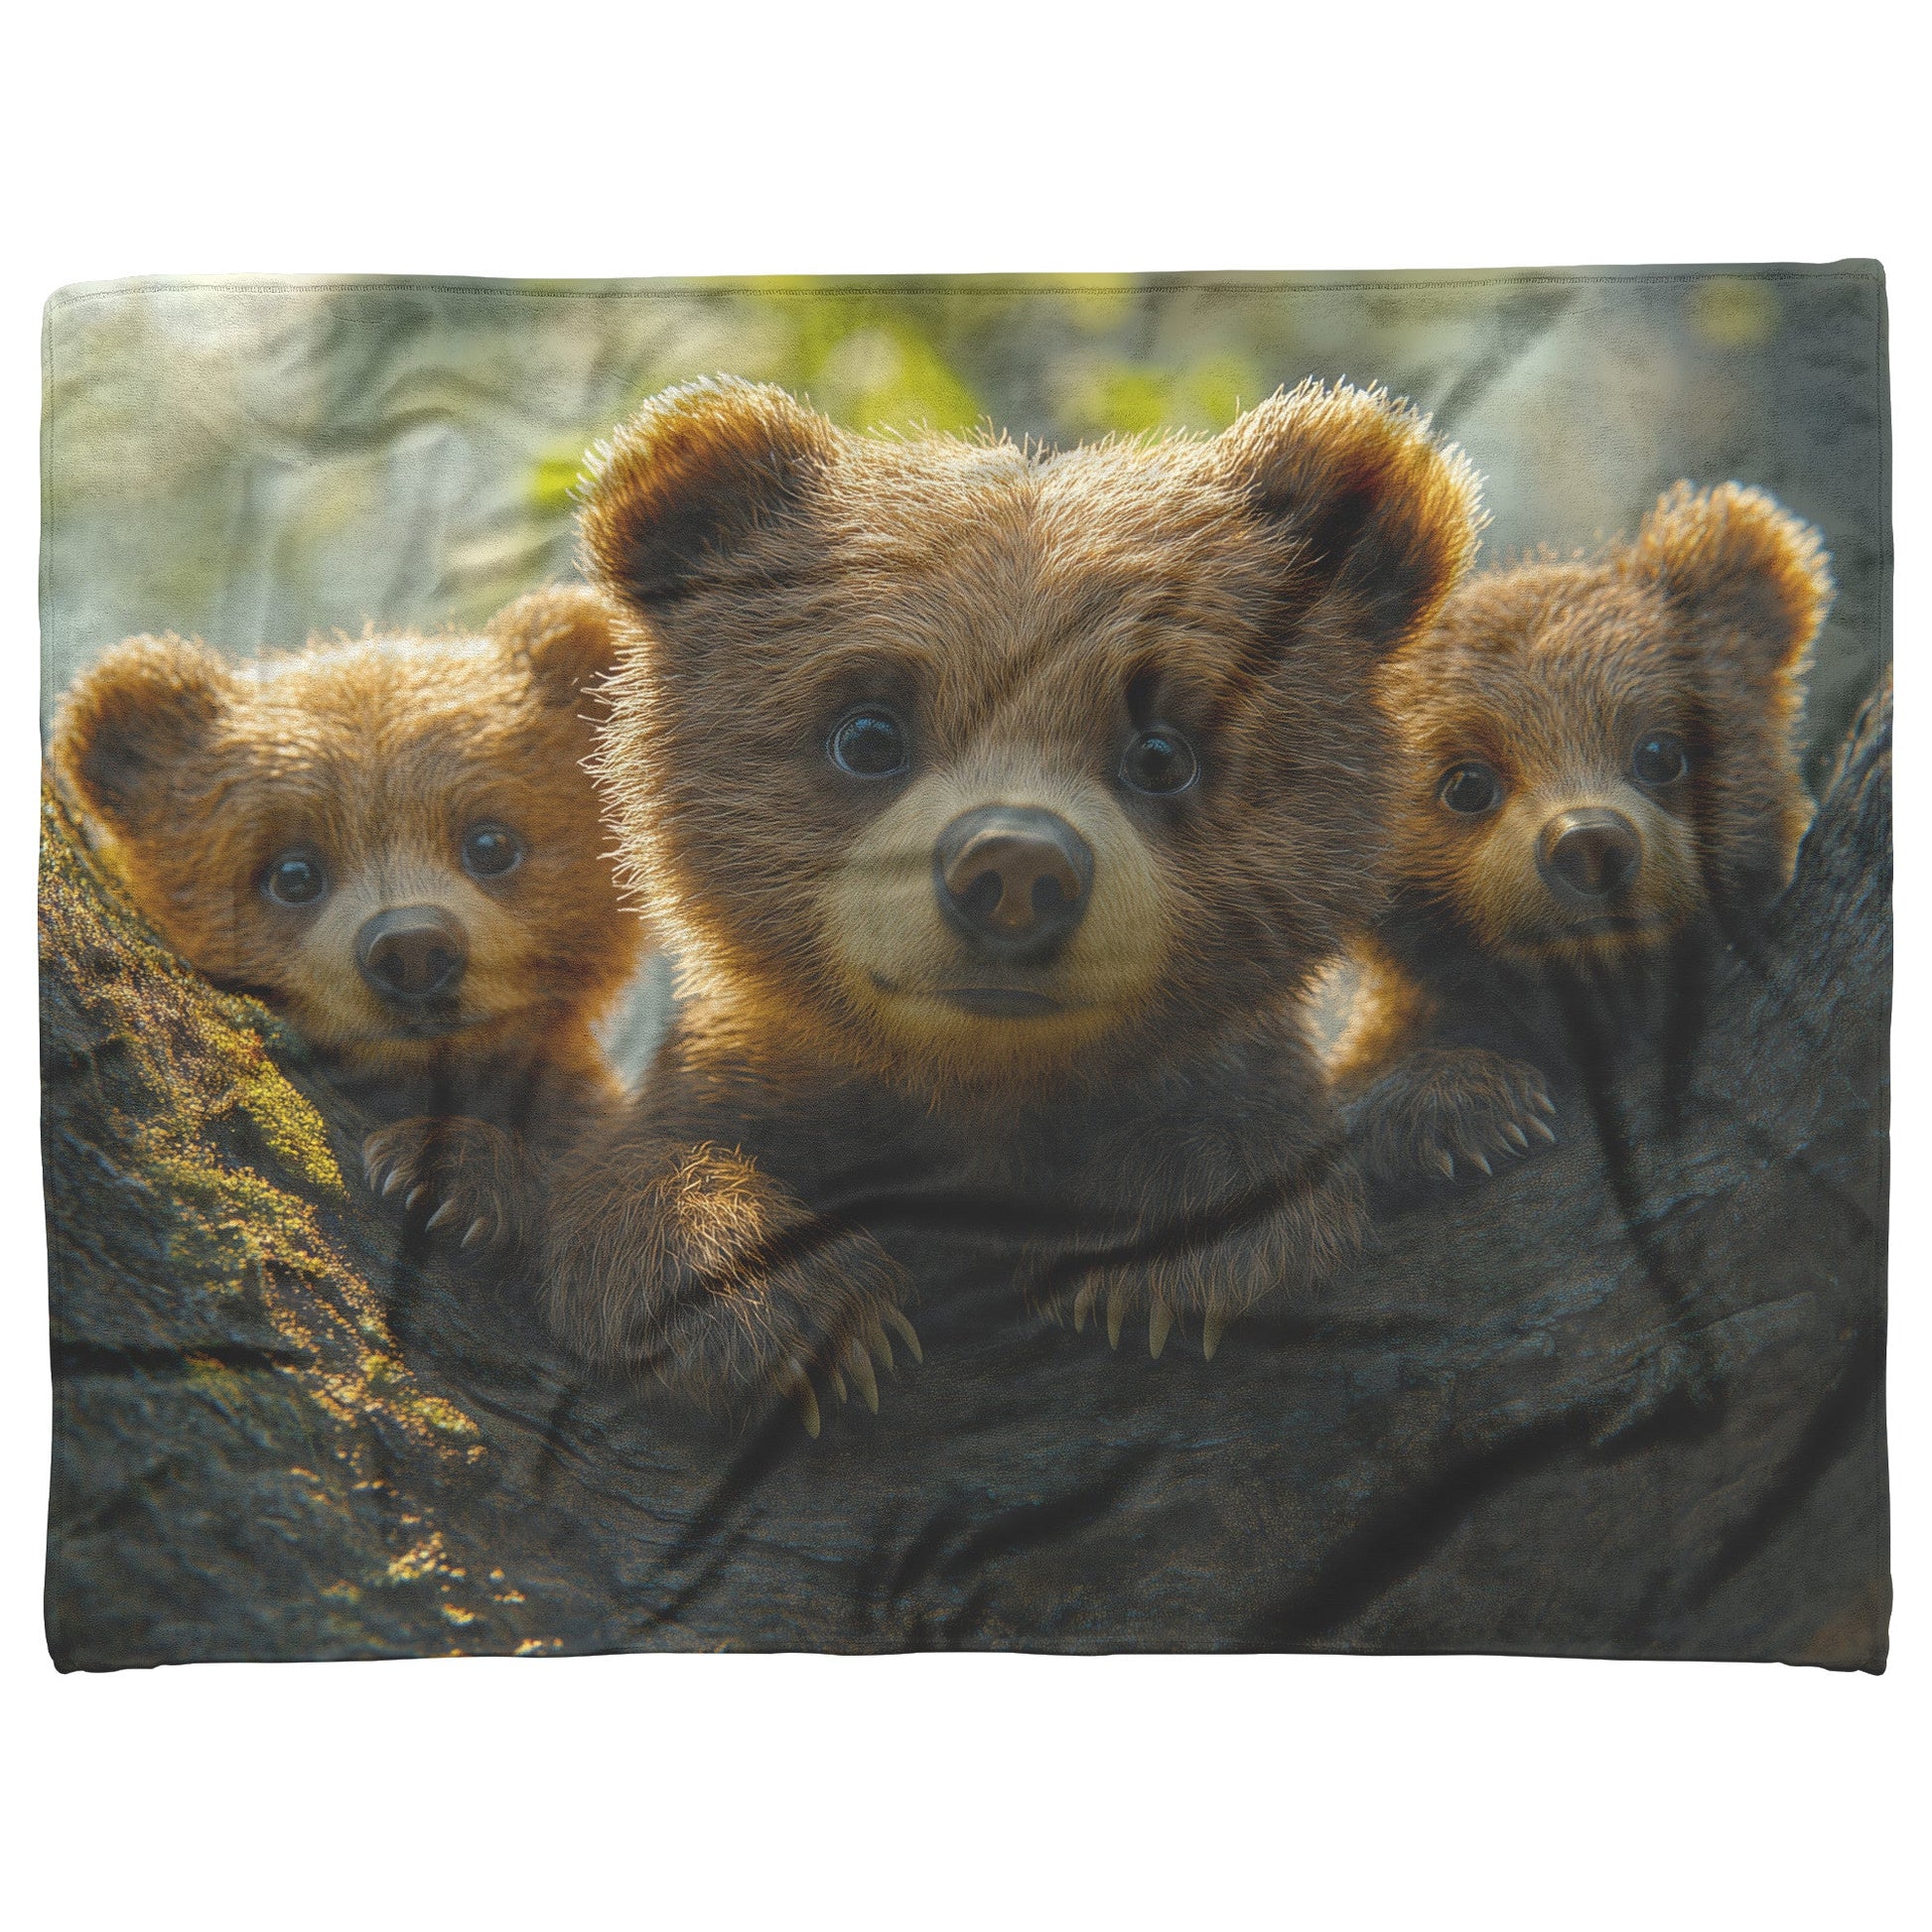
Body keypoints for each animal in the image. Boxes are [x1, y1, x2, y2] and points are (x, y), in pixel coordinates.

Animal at [537, 375, 1484, 1429]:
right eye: (868, 731)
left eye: (1162, 748)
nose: (1017, 869)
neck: (980, 1100)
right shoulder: (746, 1091)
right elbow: (638, 1187)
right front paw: (787, 1303)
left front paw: (1164, 1251)